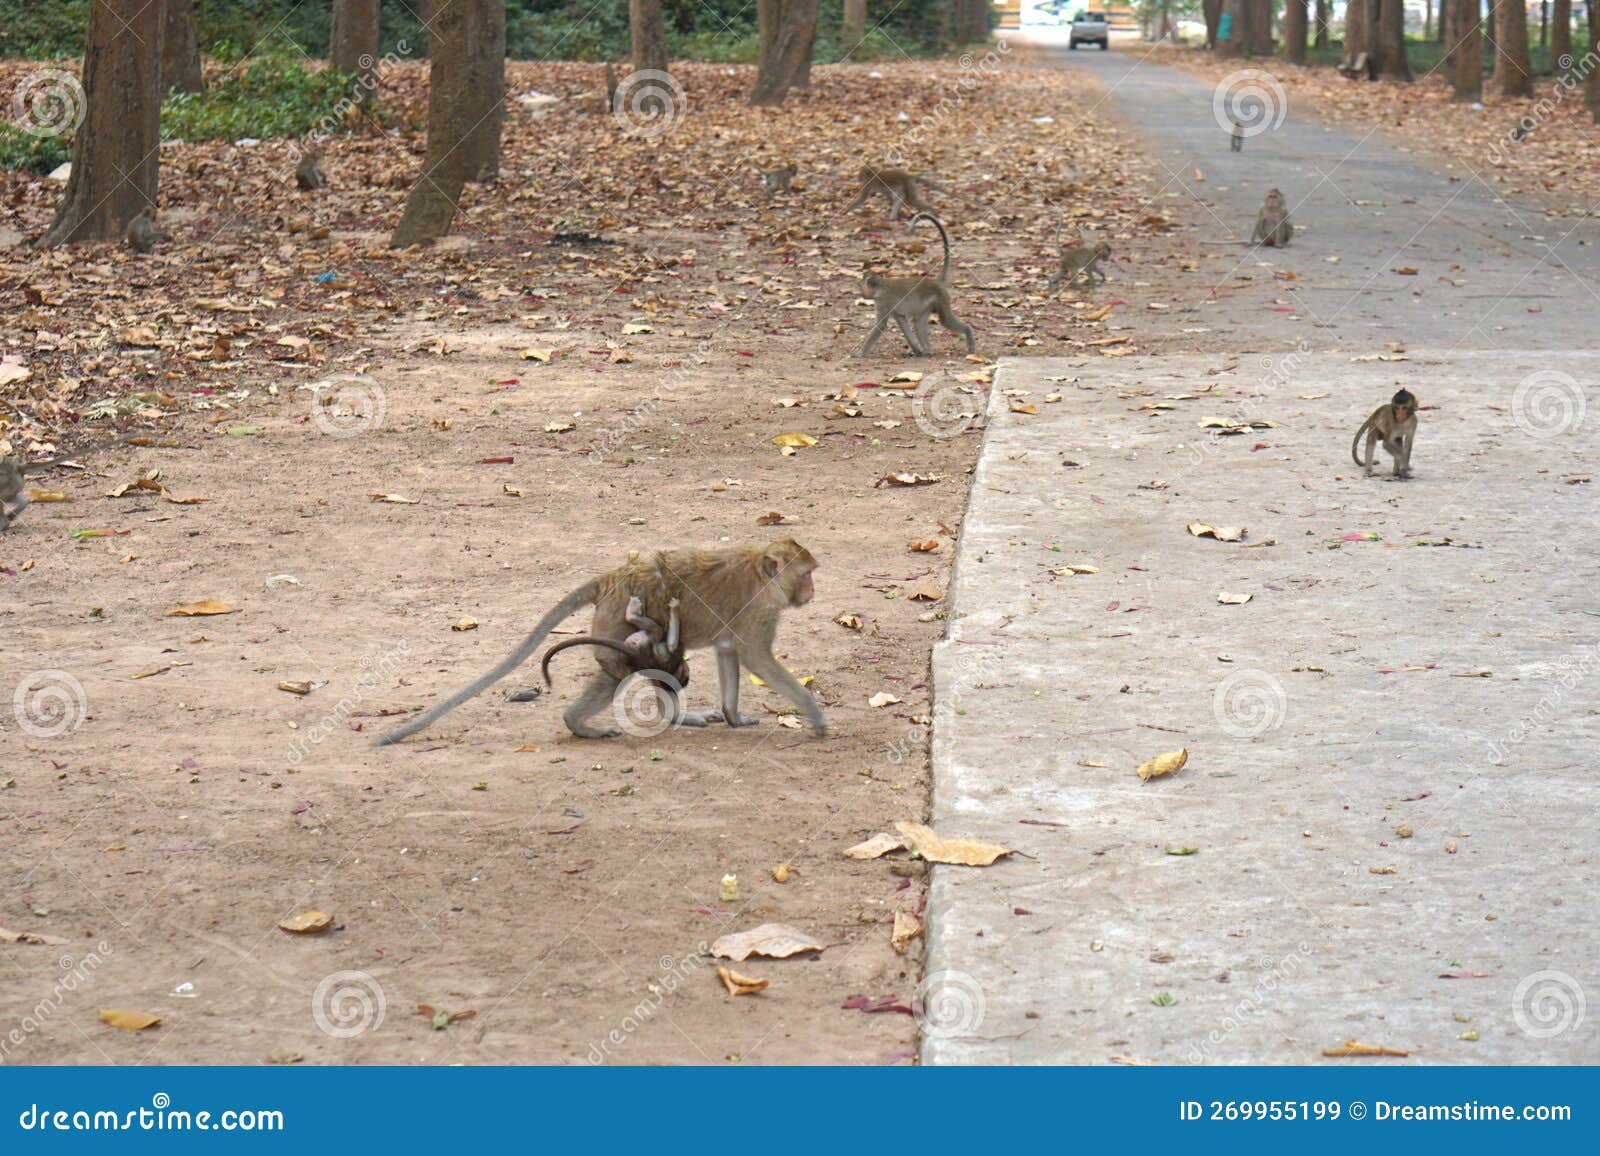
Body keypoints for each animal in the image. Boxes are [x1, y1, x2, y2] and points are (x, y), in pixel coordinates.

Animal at [375, 540, 826, 745]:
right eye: (806, 574)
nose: (812, 590)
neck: (762, 576)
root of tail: (613, 577)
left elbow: (729, 651)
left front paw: (733, 716)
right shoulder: (759, 613)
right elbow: (756, 658)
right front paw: (815, 716)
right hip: (615, 623)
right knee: (624, 669)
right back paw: (578, 723)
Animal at [853, 212, 976, 359]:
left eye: (861, 287)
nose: (862, 294)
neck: (881, 288)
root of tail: (935, 281)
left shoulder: (883, 302)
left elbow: (881, 326)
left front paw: (860, 353)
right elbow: (902, 320)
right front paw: (916, 349)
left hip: (942, 299)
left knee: (945, 320)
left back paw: (967, 332)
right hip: (929, 304)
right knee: (918, 323)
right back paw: (927, 350)